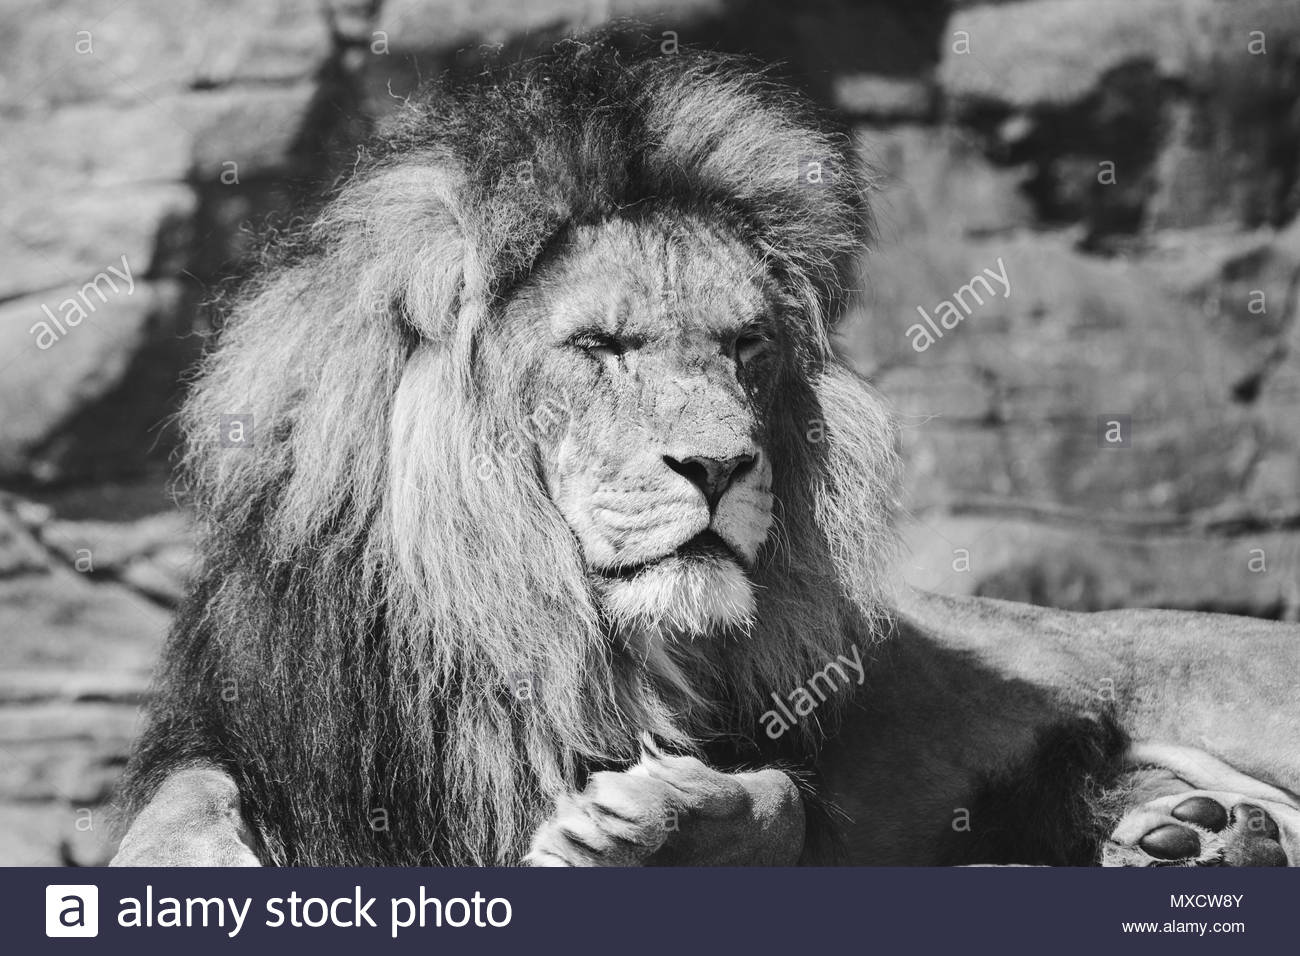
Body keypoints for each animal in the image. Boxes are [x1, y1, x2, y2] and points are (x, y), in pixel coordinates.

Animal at [112, 39, 1300, 869]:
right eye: (598, 347)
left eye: (746, 347)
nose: (721, 468)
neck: (527, 622)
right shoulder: (246, 729)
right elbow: (178, 803)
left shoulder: (802, 788)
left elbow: (768, 801)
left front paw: (648, 828)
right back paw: (1194, 832)